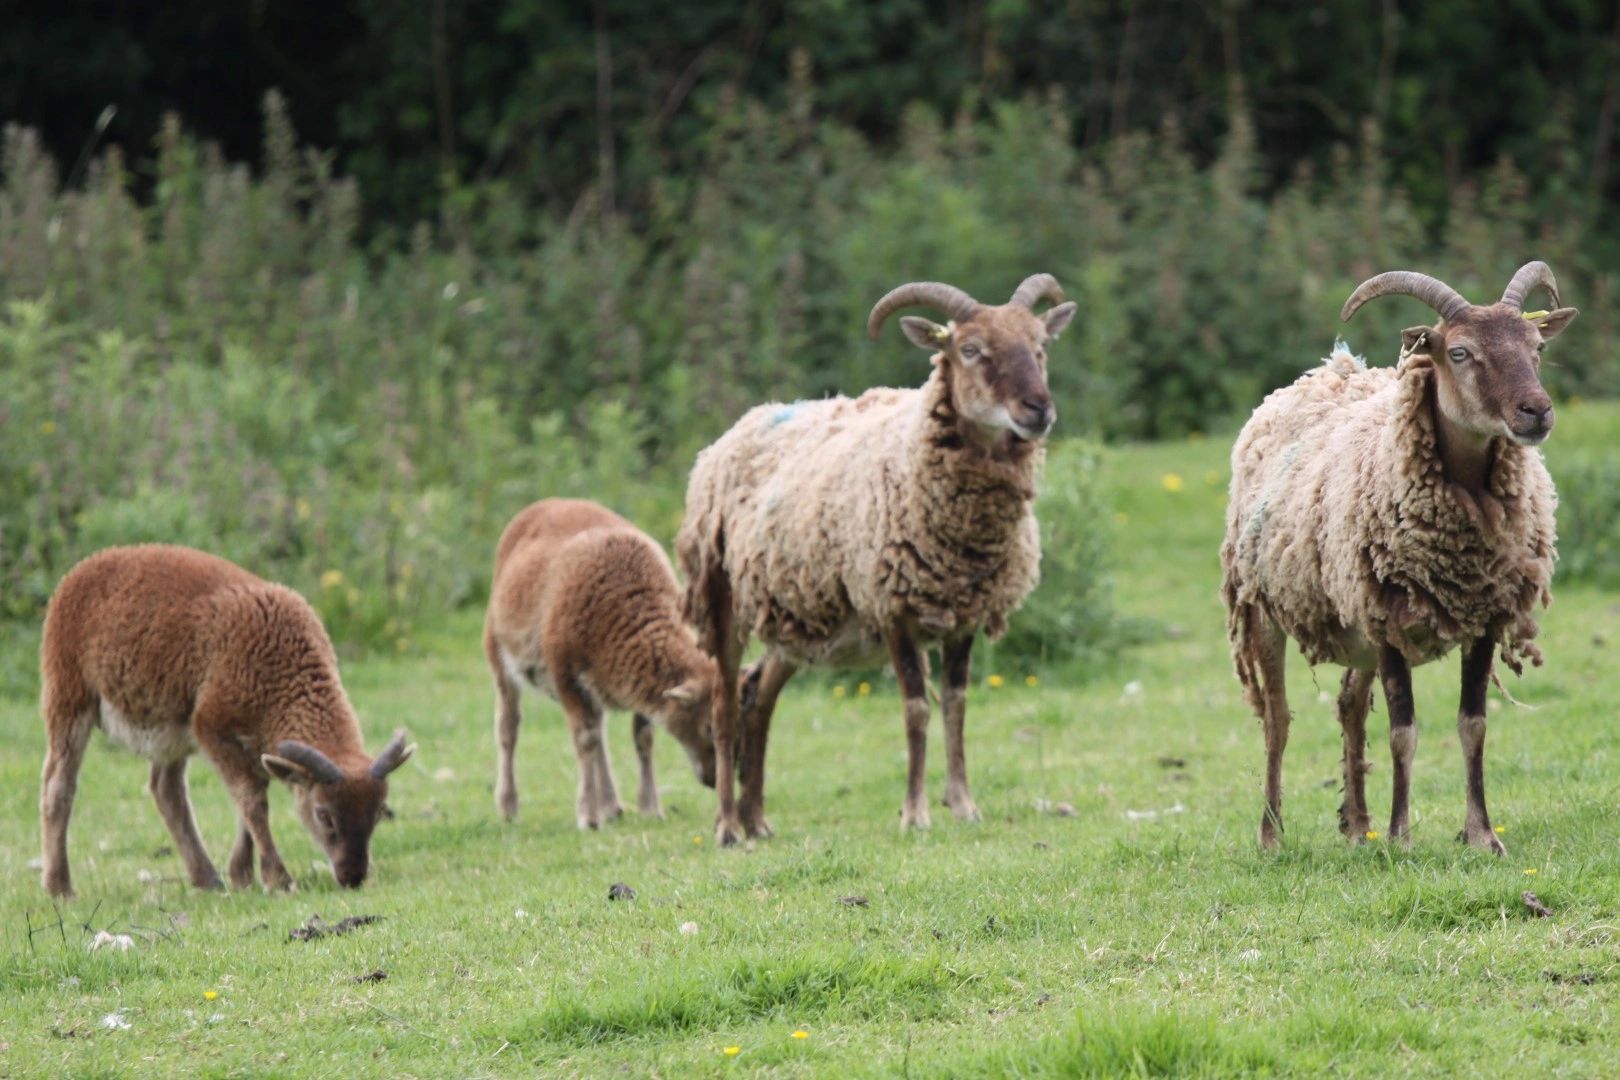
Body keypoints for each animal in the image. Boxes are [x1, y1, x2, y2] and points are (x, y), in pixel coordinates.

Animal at [38, 545, 415, 897]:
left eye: (379, 811)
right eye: (324, 814)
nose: (353, 876)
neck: (280, 660)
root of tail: (79, 574)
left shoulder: (253, 744)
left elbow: (248, 797)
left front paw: (241, 875)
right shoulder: (210, 728)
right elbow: (251, 798)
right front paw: (278, 879)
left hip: (170, 732)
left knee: (167, 790)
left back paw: (207, 878)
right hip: (69, 701)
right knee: (59, 785)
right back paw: (61, 888)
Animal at [484, 498, 719, 829]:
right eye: (708, 726)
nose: (713, 779)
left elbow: (641, 738)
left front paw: (649, 807)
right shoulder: (566, 677)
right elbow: (584, 739)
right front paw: (588, 816)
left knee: (599, 732)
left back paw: (611, 805)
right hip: (499, 656)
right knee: (508, 726)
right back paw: (508, 807)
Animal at [677, 275, 1076, 845]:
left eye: (1041, 346)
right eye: (970, 350)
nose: (1038, 409)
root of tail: (738, 427)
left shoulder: (965, 614)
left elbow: (956, 704)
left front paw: (964, 805)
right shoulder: (892, 609)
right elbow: (916, 709)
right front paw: (915, 813)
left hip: (797, 614)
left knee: (760, 695)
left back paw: (757, 821)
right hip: (722, 598)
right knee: (726, 702)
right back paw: (729, 827)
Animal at [1221, 262, 1575, 853]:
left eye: (1538, 347)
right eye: (1459, 352)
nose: (1536, 411)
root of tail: (1329, 369)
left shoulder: (1483, 617)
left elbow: (1472, 725)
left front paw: (1481, 835)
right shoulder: (1386, 621)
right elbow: (1403, 732)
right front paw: (1402, 836)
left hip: (1355, 625)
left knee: (1348, 707)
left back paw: (1357, 826)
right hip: (1268, 607)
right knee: (1277, 720)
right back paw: (1272, 834)